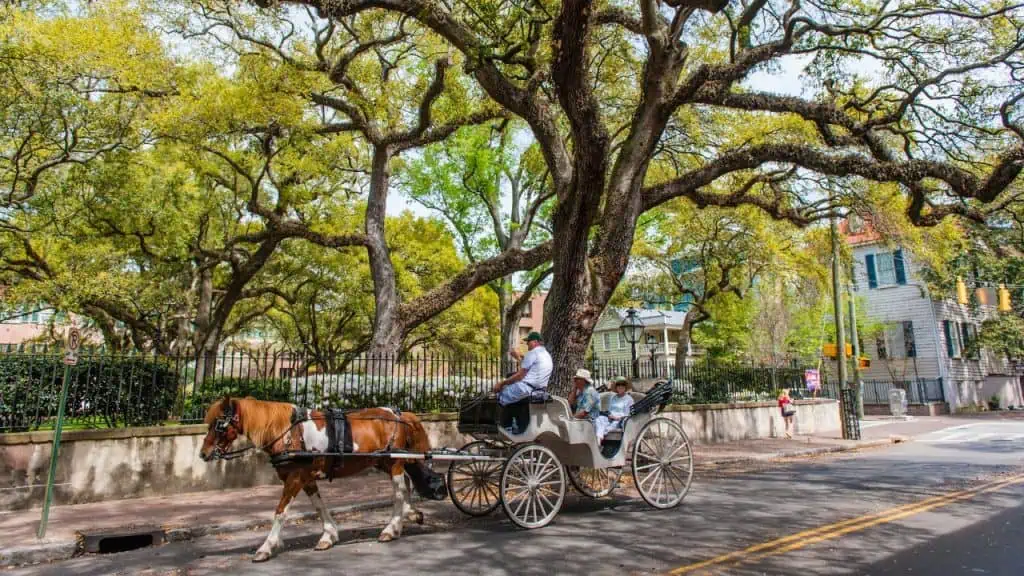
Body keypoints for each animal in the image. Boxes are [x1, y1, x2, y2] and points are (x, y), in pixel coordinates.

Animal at [199, 393, 444, 561]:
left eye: (219, 425)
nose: (203, 454)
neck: (287, 432)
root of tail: (401, 414)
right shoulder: (306, 477)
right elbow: (318, 505)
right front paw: (329, 535)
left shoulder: (295, 477)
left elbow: (281, 512)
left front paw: (266, 546)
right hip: (385, 461)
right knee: (408, 484)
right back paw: (409, 515)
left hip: (394, 463)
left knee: (399, 492)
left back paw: (391, 528)